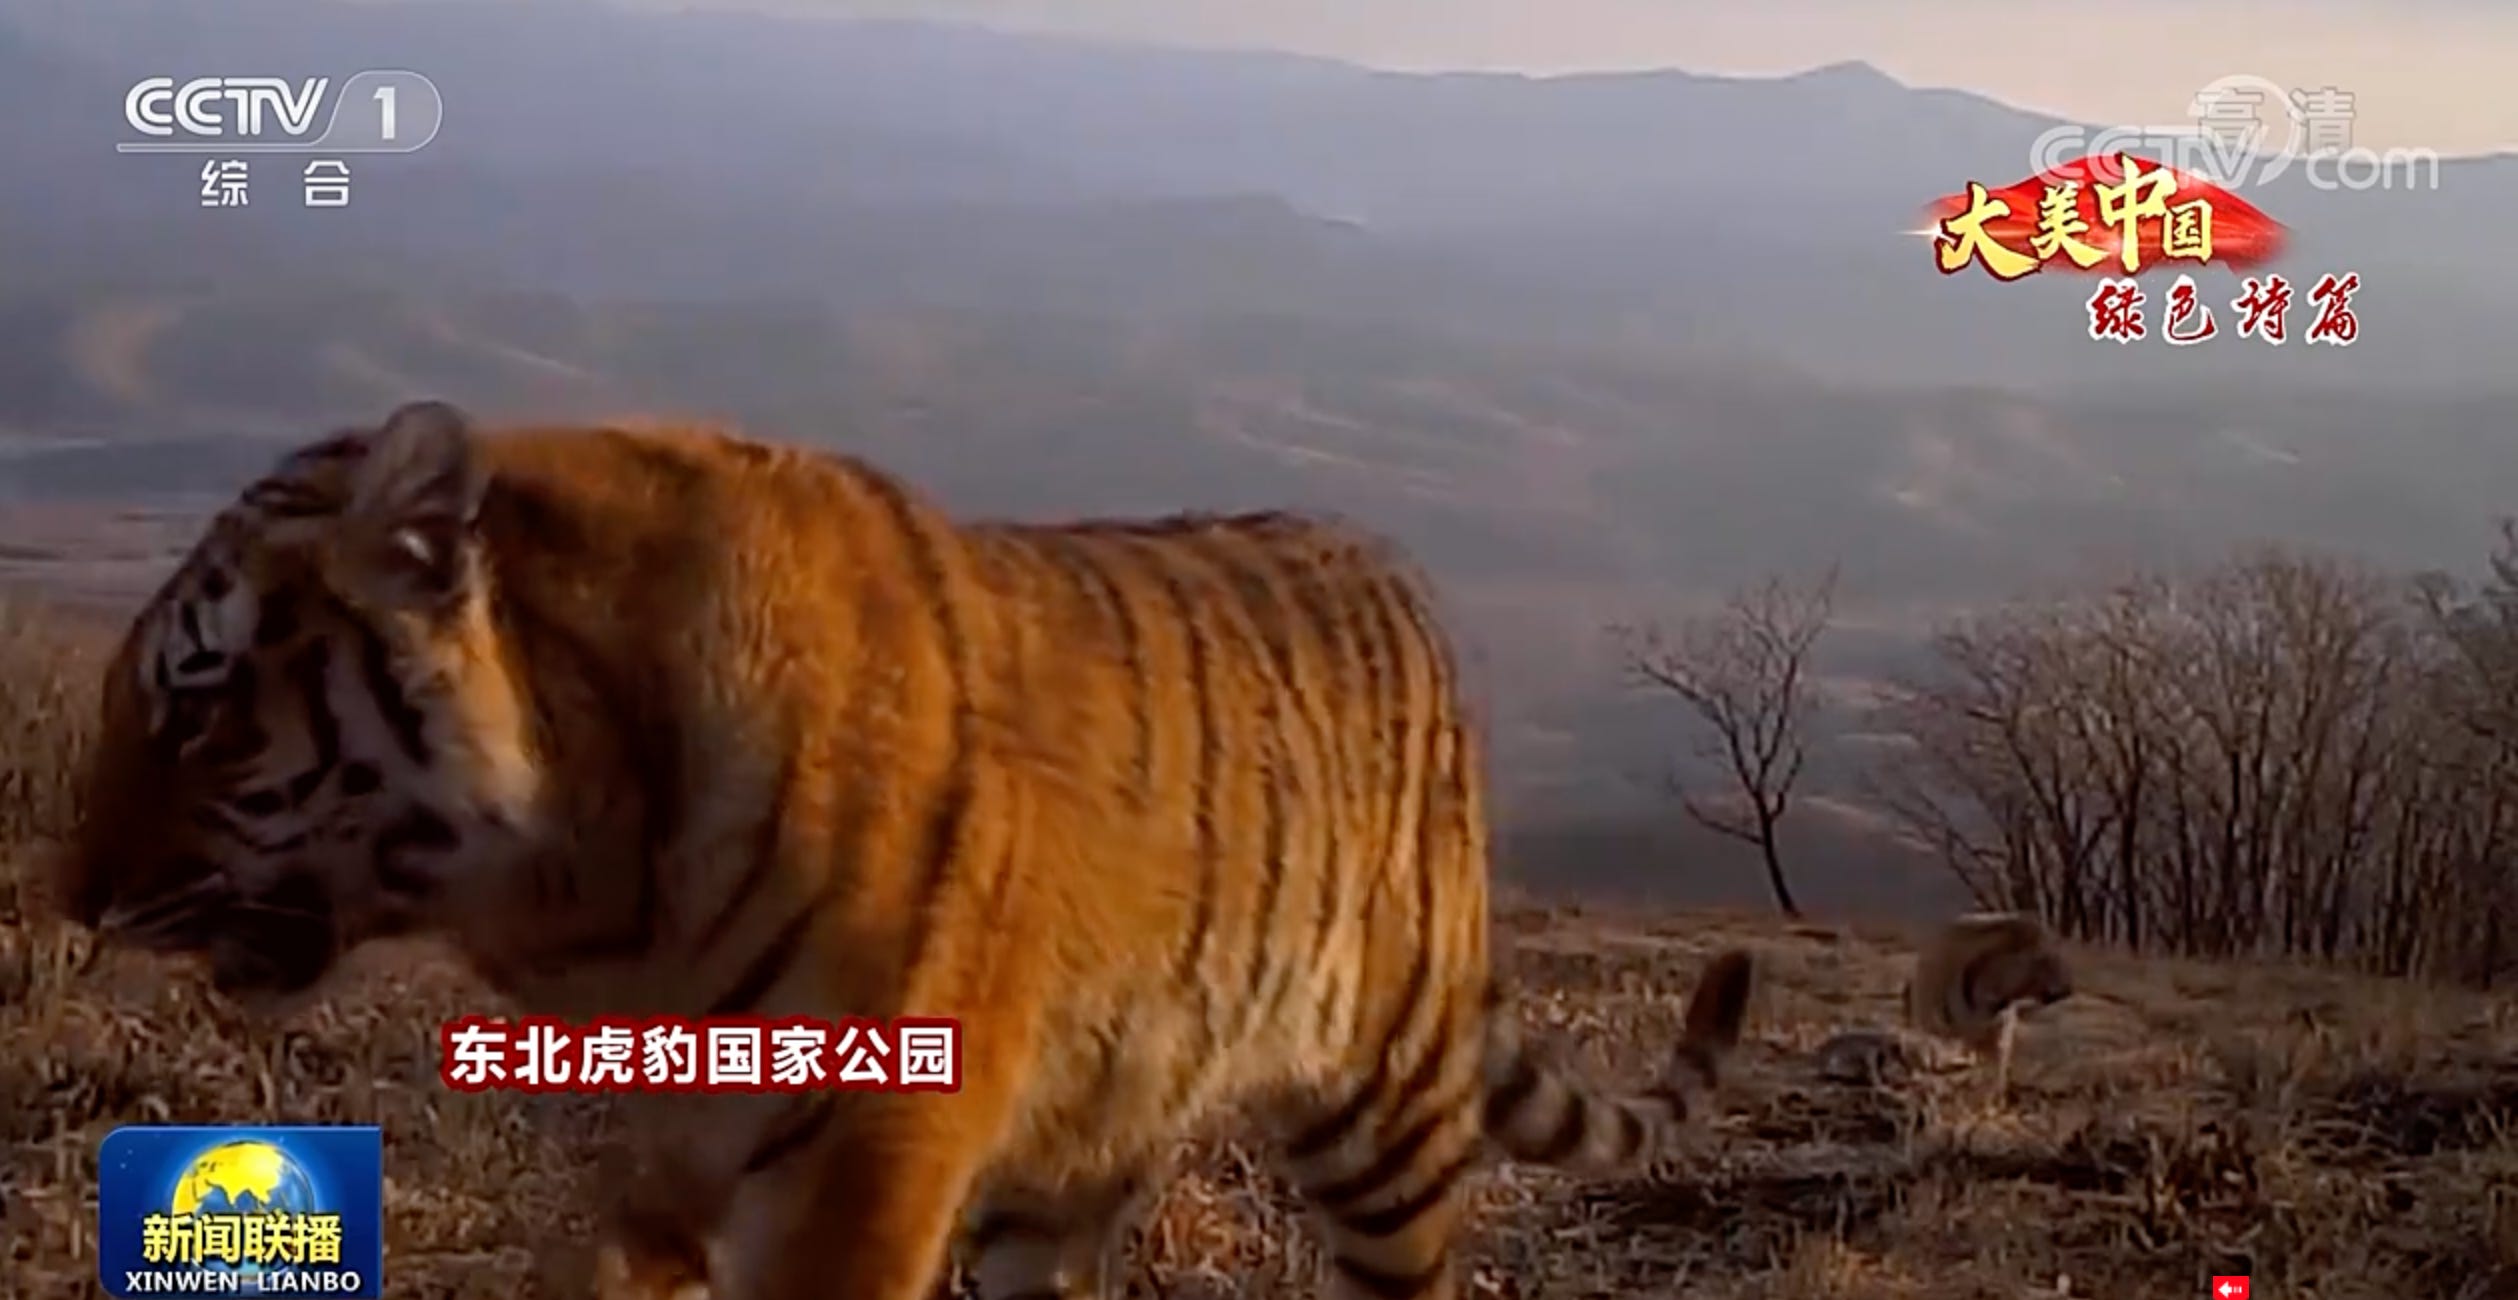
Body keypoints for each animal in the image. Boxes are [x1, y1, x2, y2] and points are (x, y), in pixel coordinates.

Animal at [53, 400, 1759, 1300]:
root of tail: (1405, 586)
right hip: (1086, 1141)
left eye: (198, 705)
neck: (584, 897)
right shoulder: (646, 1176)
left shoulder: (856, 1178)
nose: (70, 894)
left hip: (1384, 1116)